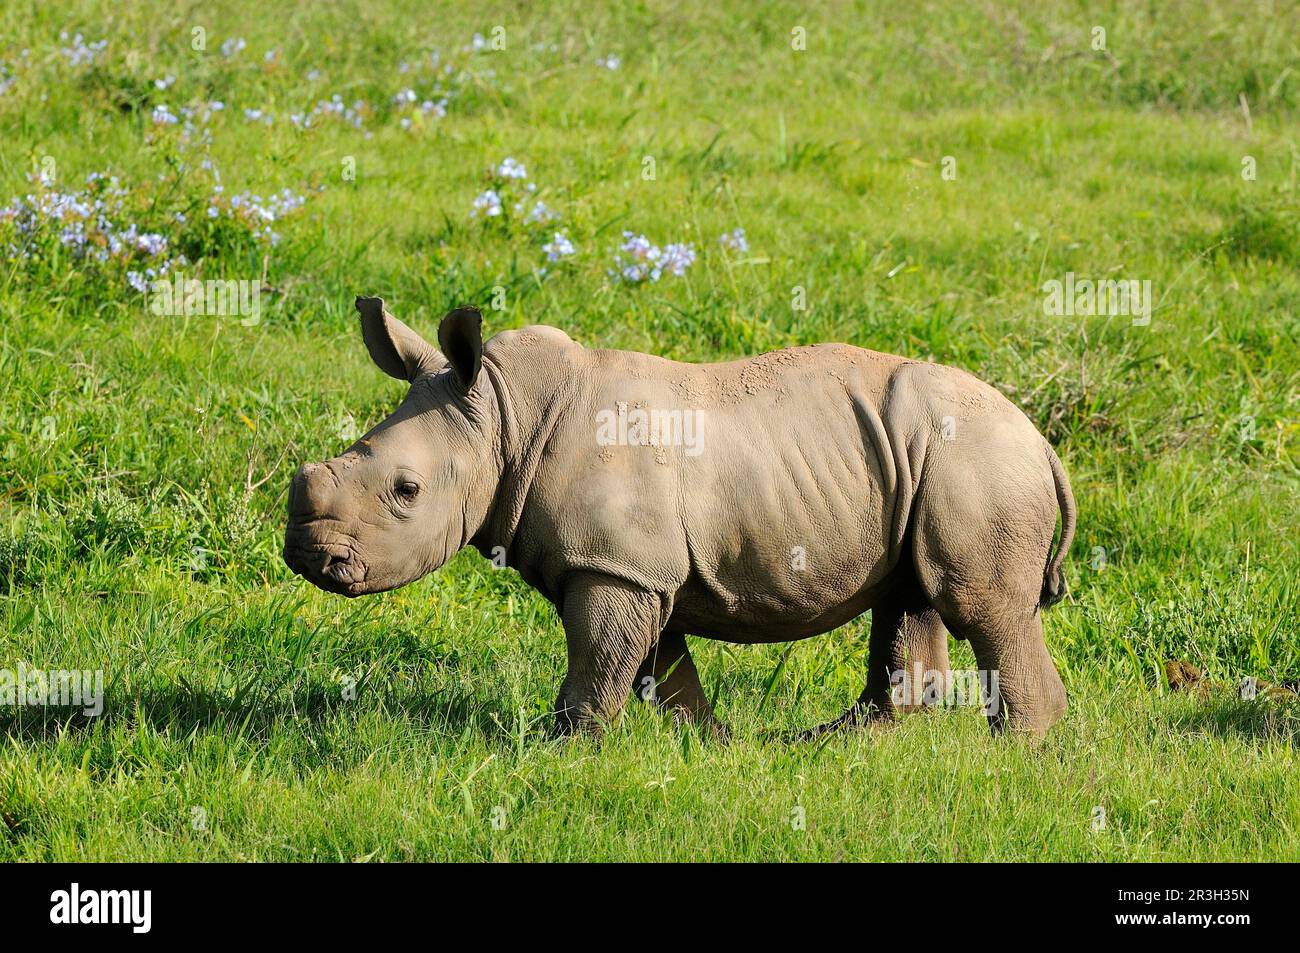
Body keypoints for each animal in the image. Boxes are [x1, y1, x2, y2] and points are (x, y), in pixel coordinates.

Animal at [284, 298, 1076, 738]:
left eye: (406, 490)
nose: (311, 556)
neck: (503, 414)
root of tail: (1041, 439)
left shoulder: (615, 565)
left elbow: (599, 663)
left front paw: (558, 747)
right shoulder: (633, 565)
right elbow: (653, 664)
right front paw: (709, 741)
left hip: (976, 461)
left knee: (981, 606)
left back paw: (1021, 751)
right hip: (925, 460)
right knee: (910, 594)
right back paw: (850, 742)